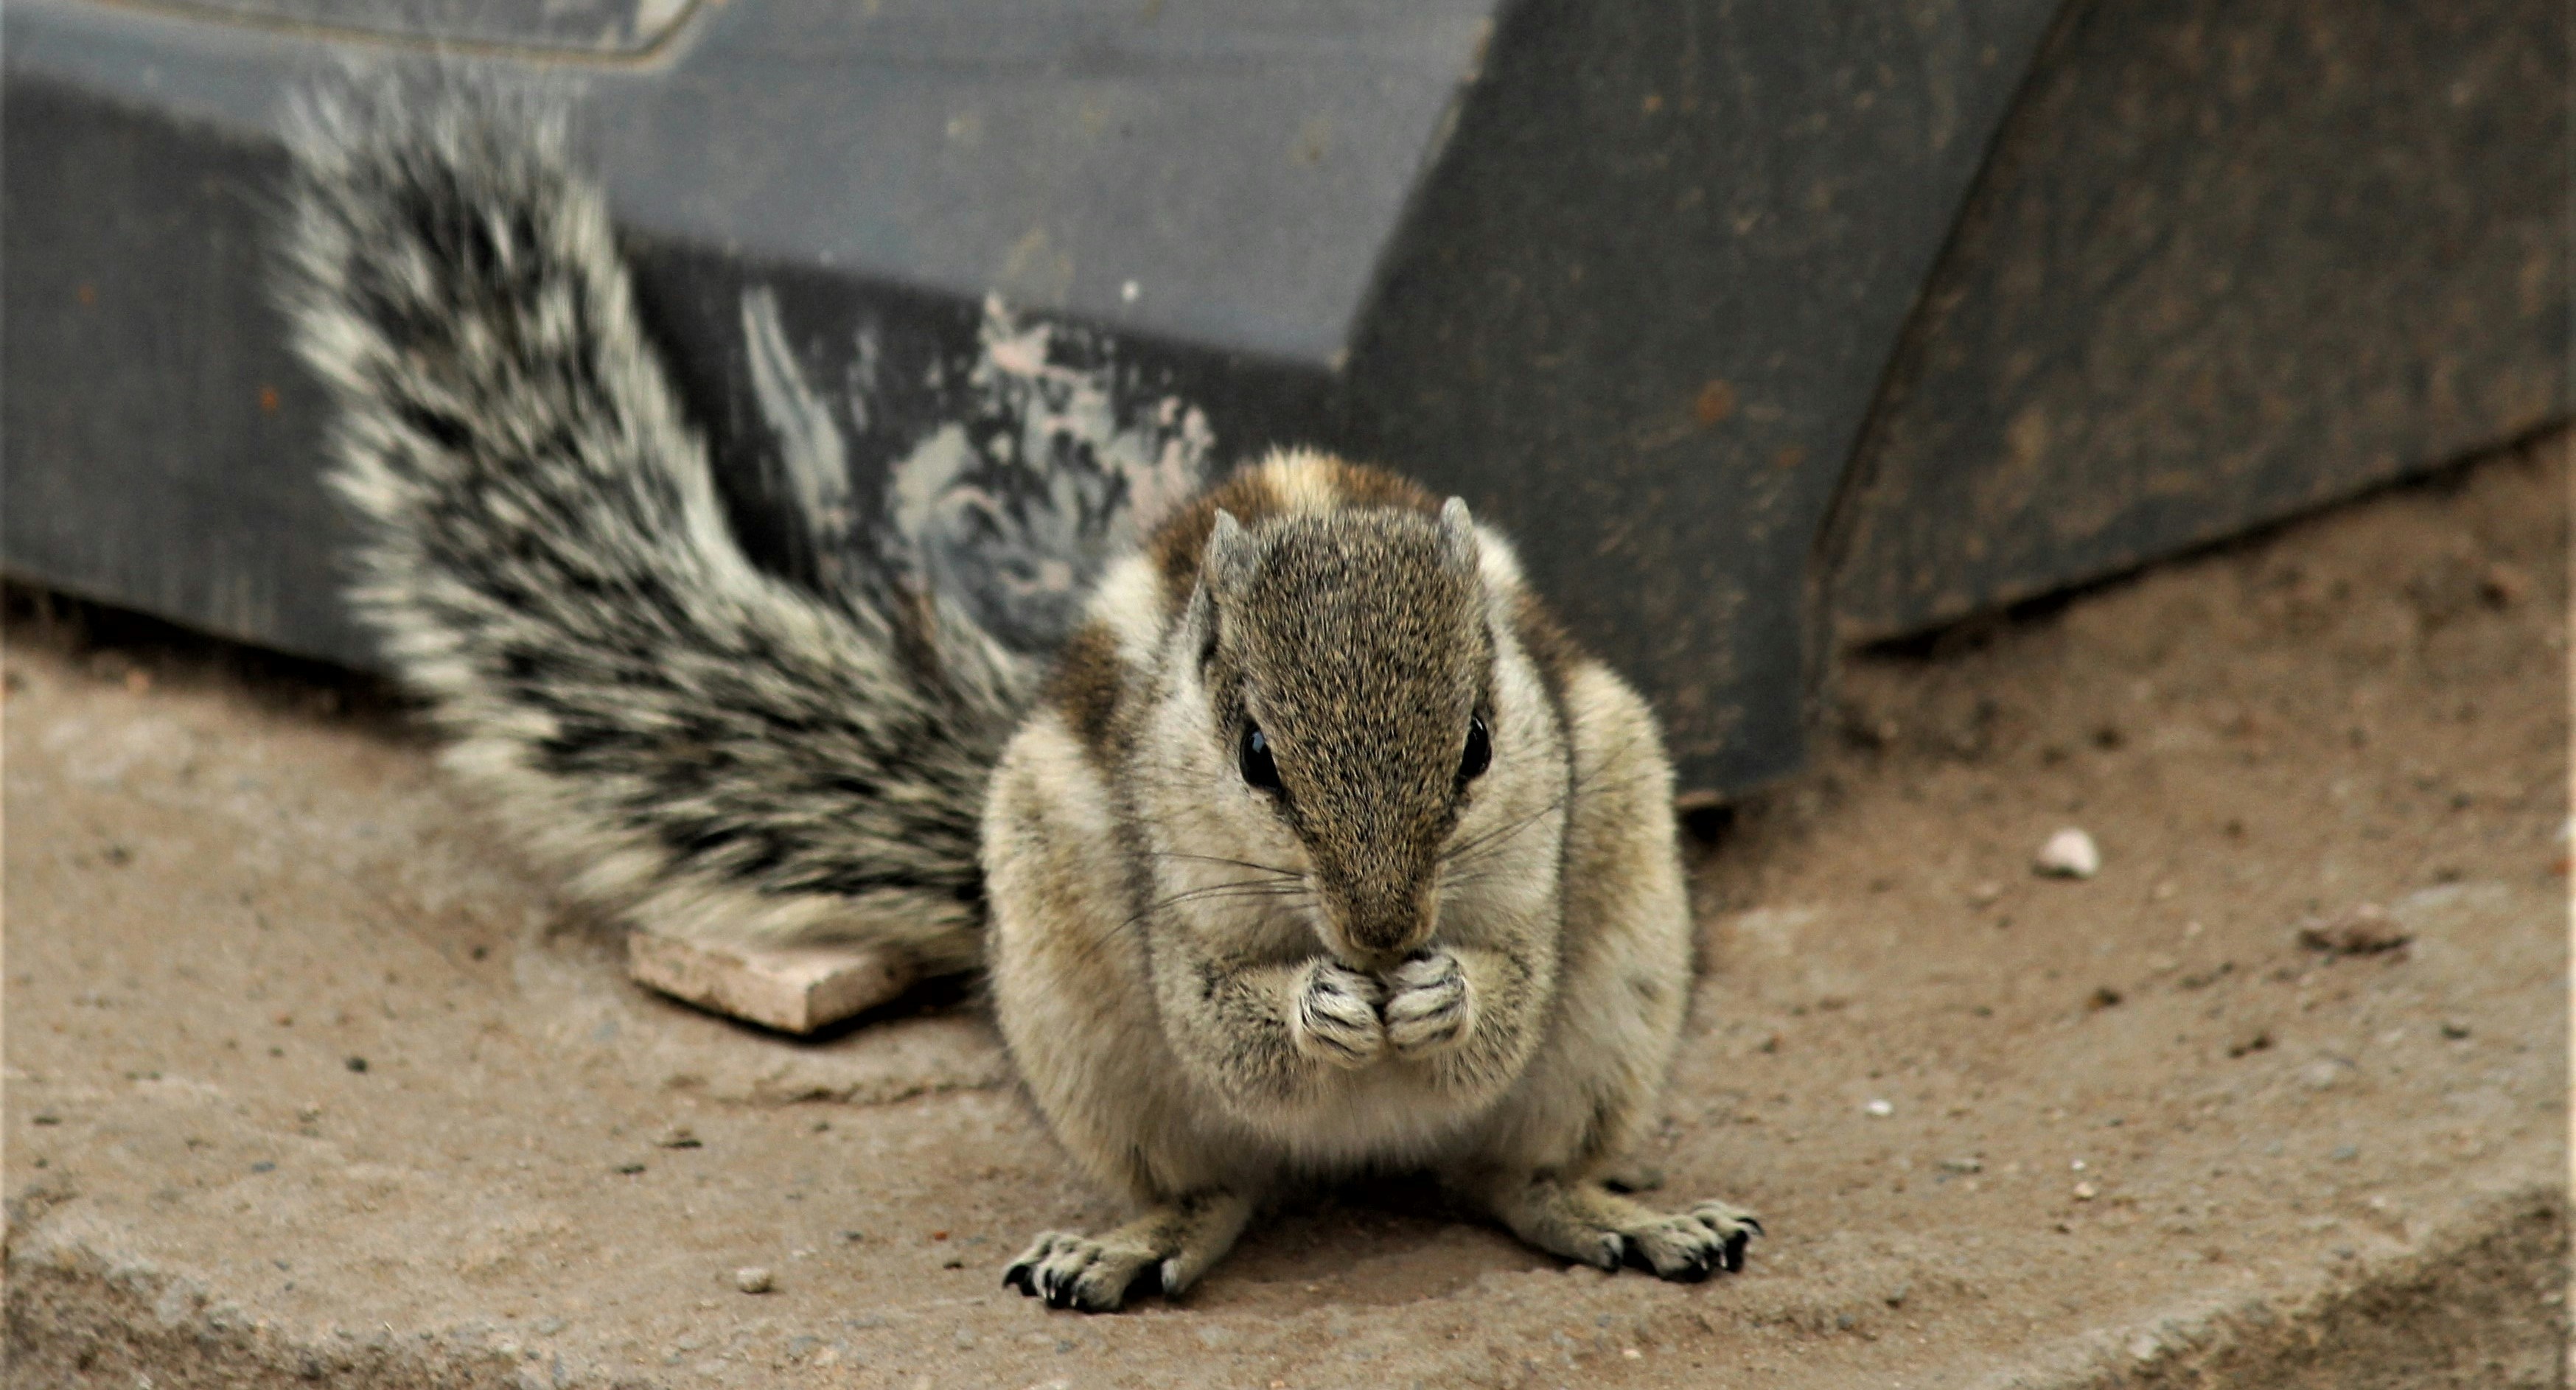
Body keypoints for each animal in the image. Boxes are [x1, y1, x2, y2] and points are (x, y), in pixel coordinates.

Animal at [279, 79, 1761, 1312]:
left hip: (1620, 972)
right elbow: (1222, 1026)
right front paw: (1314, 1008)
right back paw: (1134, 1243)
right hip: (1077, 1006)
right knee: (1221, 1185)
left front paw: (1444, 990)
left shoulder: (1546, 864)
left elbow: (1502, 1007)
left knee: (1511, 1169)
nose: (1386, 934)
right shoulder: (1174, 922)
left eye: (1478, 744)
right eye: (1254, 756)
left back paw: (1624, 1216)